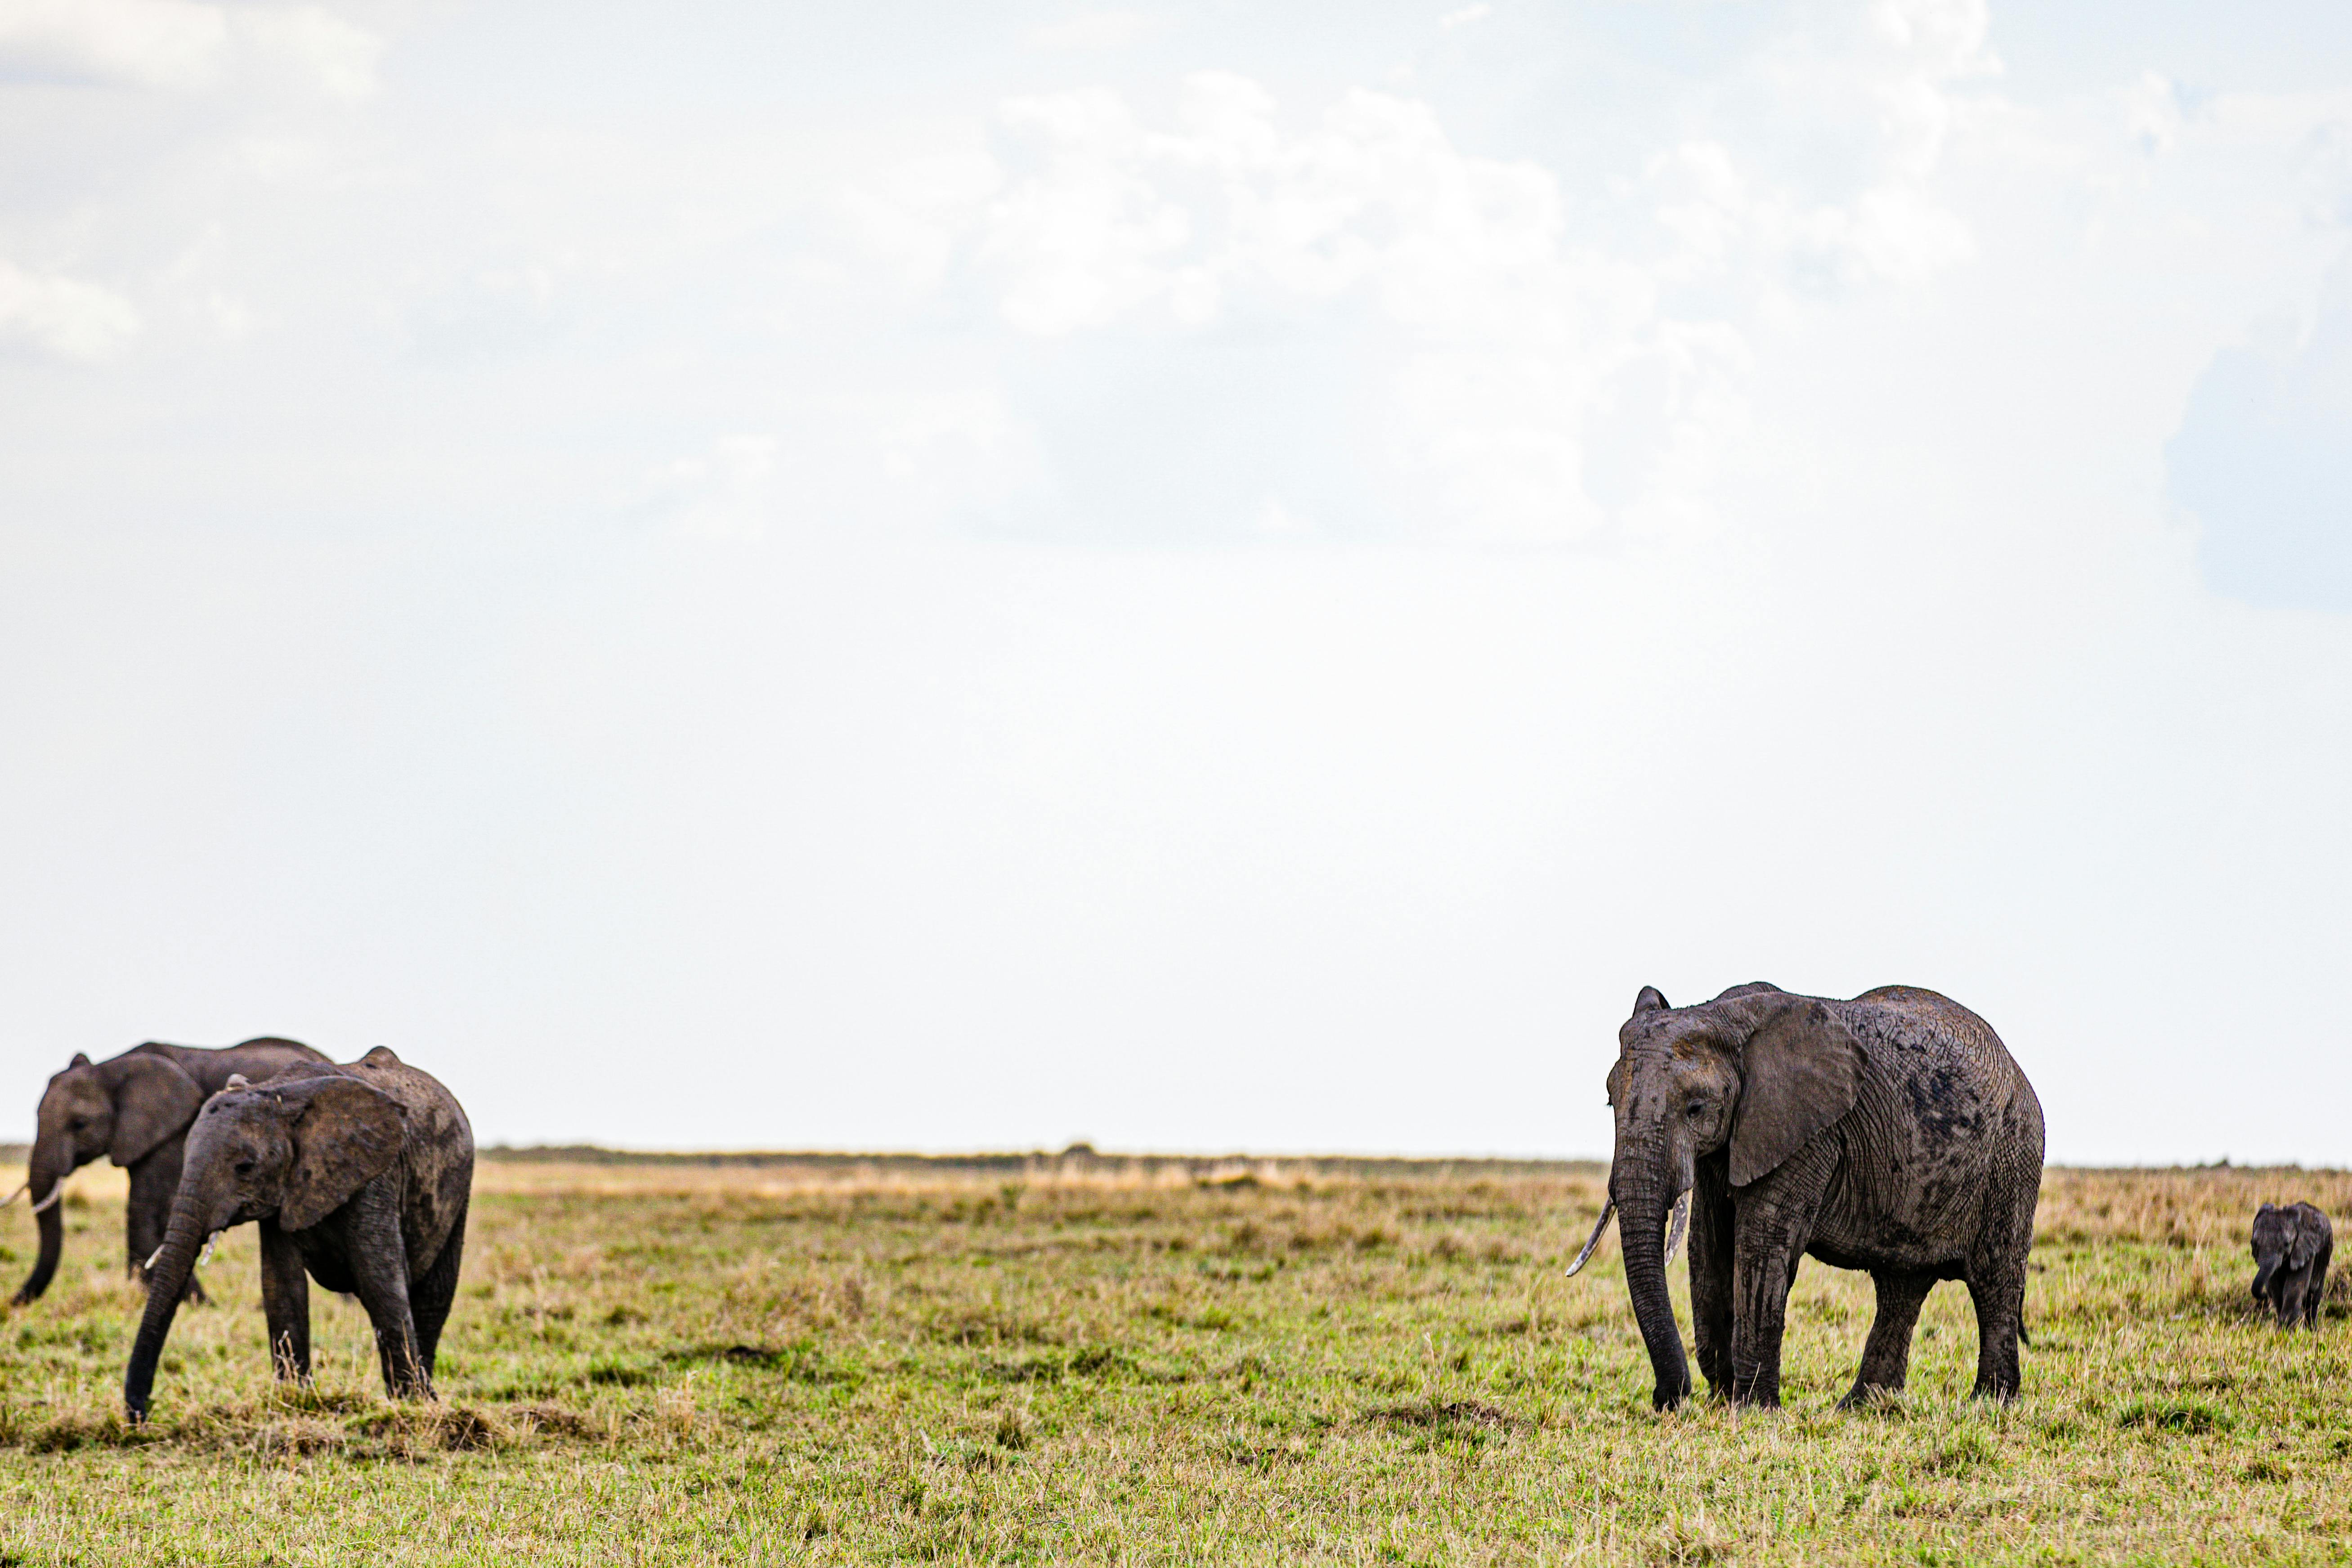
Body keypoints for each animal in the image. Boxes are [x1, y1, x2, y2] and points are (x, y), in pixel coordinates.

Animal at [11, 1037, 328, 1305]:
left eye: (79, 1124)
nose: (14, 1303)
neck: (110, 1068)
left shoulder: (172, 1131)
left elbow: (147, 1208)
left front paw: (196, 1303)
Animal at [123, 1048, 473, 1422]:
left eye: (245, 1168)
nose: (141, 1414)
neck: (280, 1093)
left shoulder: (375, 1176)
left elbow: (380, 1281)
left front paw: (408, 1406)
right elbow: (282, 1286)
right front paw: (294, 1400)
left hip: (460, 1188)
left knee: (435, 1295)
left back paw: (427, 1396)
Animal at [1568, 982, 2045, 1410]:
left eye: (1695, 1109)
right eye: (1610, 1101)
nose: (1670, 1400)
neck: (1719, 1015)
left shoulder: (1808, 1134)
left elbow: (1761, 1243)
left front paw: (1751, 1409)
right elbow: (1708, 1243)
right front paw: (1722, 1400)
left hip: (2012, 1155)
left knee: (1993, 1279)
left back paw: (1989, 1405)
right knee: (1901, 1286)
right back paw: (1860, 1408)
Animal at [2250, 1202, 2331, 1329]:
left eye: (2287, 1244)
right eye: (2254, 1244)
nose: (2264, 1298)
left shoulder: (2306, 1250)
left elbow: (2295, 1287)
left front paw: (2287, 1329)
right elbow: (2276, 1289)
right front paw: (2283, 1329)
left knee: (2314, 1298)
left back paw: (2312, 1330)